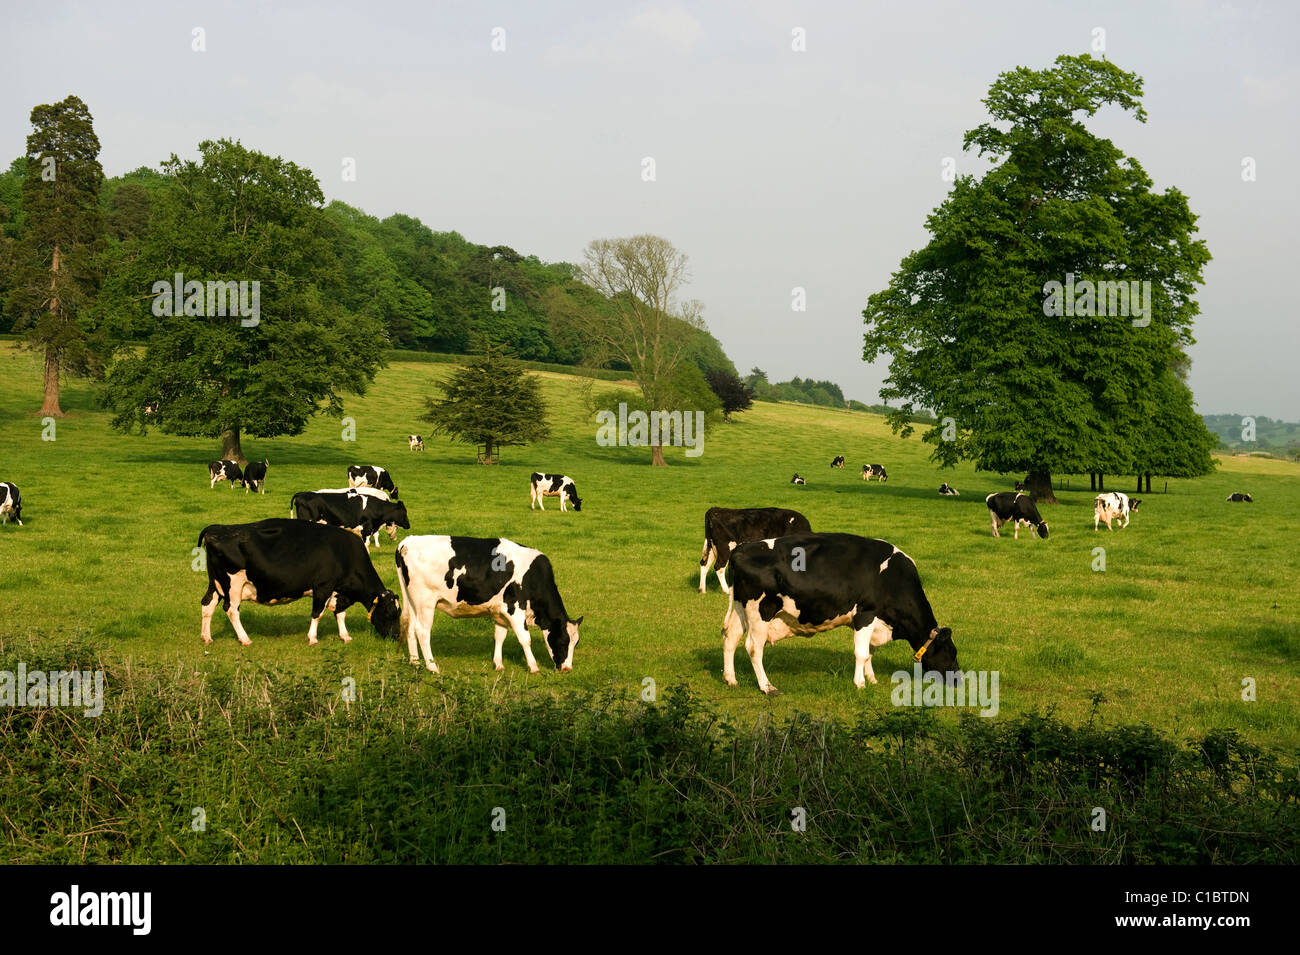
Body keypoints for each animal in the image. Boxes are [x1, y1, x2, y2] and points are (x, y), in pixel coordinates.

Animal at [198, 518, 401, 646]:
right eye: (390, 612)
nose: (397, 636)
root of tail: (218, 528)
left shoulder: (339, 591)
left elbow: (340, 613)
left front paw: (345, 636)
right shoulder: (323, 586)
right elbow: (318, 613)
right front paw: (312, 638)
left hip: (215, 584)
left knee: (207, 604)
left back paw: (207, 638)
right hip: (233, 585)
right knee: (231, 610)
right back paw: (245, 639)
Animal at [395, 535, 584, 674]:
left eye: (576, 643)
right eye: (563, 641)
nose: (567, 669)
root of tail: (408, 541)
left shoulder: (499, 611)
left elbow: (500, 636)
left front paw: (498, 664)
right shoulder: (514, 607)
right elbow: (525, 639)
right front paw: (533, 667)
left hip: (413, 602)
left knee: (411, 629)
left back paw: (415, 663)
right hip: (425, 601)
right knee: (422, 631)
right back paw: (432, 667)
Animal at [721, 532, 959, 695]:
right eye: (952, 652)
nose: (958, 679)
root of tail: (742, 548)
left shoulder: (875, 622)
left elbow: (869, 652)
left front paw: (872, 679)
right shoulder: (865, 615)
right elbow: (861, 653)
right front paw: (860, 683)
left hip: (741, 608)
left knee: (730, 638)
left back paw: (731, 679)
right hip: (761, 610)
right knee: (754, 647)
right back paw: (767, 686)